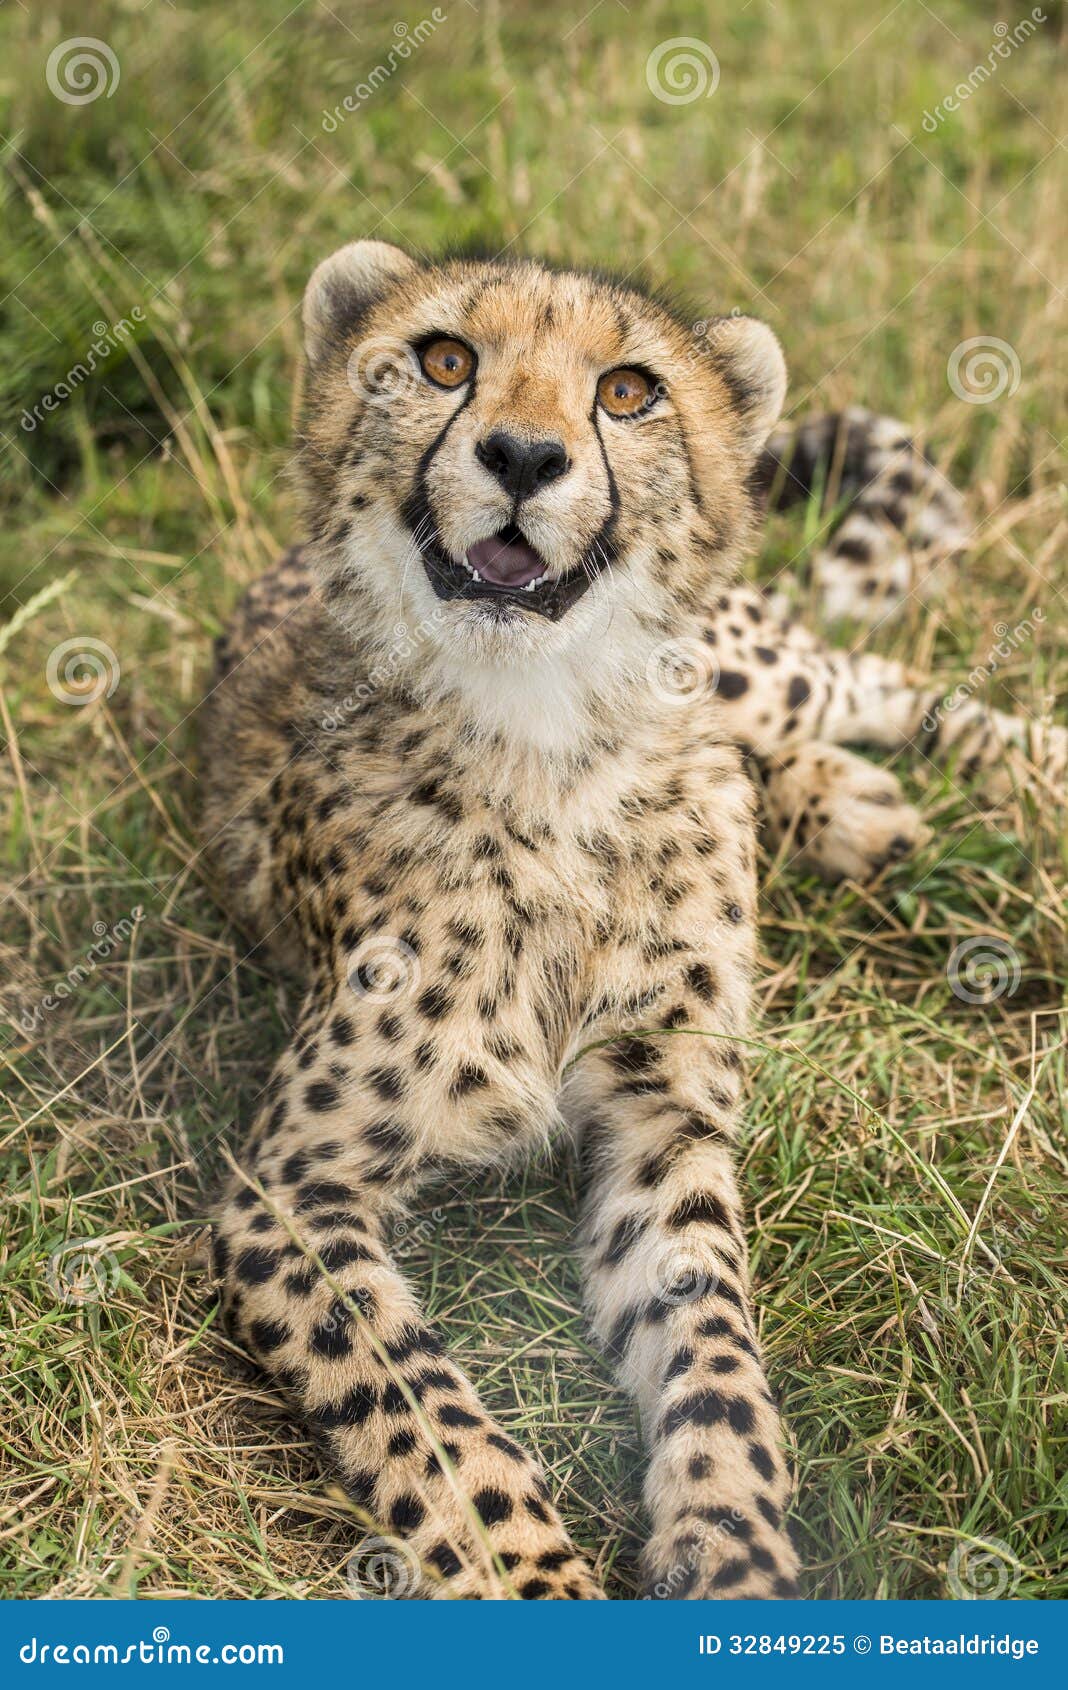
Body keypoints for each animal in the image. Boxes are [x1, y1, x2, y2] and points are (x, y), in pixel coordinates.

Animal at [199, 241, 1065, 1601]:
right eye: (444, 360)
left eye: (628, 391)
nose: (521, 455)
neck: (553, 748)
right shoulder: (289, 1189)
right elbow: (427, 1417)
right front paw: (536, 1581)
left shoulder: (668, 1124)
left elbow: (717, 1358)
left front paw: (737, 1552)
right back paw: (844, 807)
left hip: (753, 663)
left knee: (886, 686)